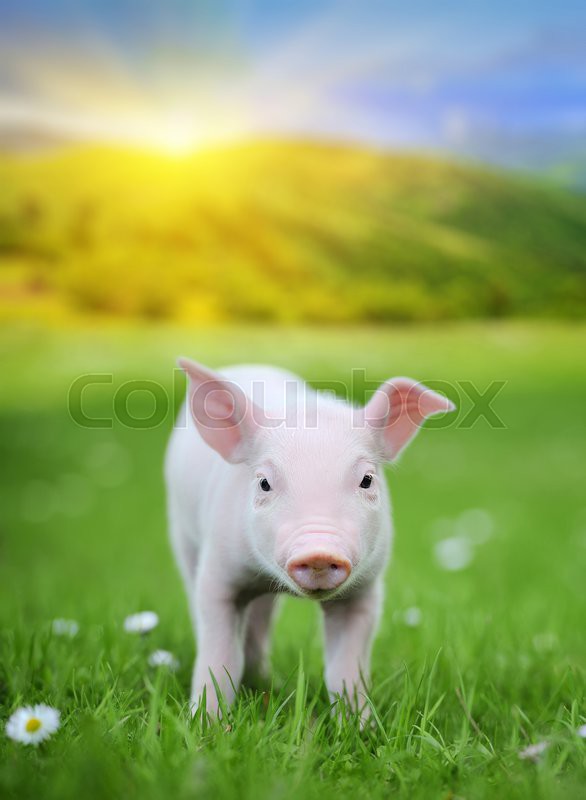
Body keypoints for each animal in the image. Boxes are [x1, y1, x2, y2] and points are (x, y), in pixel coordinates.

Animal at [165, 359, 455, 716]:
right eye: (264, 483)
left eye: (367, 479)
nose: (319, 552)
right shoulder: (218, 573)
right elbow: (219, 658)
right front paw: (206, 722)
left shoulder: (365, 590)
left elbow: (345, 670)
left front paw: (359, 724)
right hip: (181, 534)